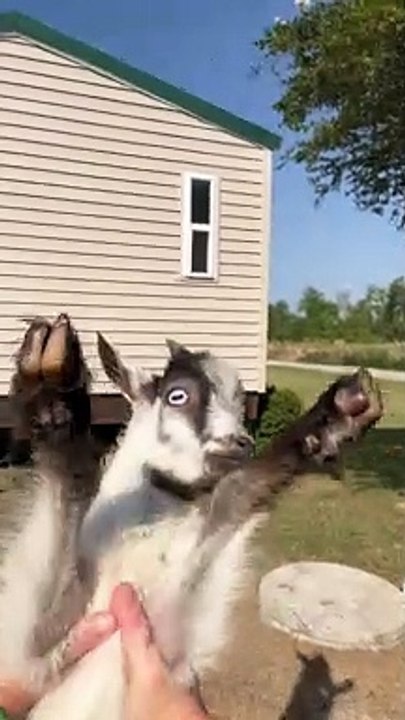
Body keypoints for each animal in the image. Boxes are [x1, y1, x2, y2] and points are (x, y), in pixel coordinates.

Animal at [0, 314, 383, 720]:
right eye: (178, 395)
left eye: (238, 401)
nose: (241, 443)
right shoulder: (36, 649)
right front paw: (52, 391)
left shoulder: (176, 622)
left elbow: (240, 489)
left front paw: (335, 417)